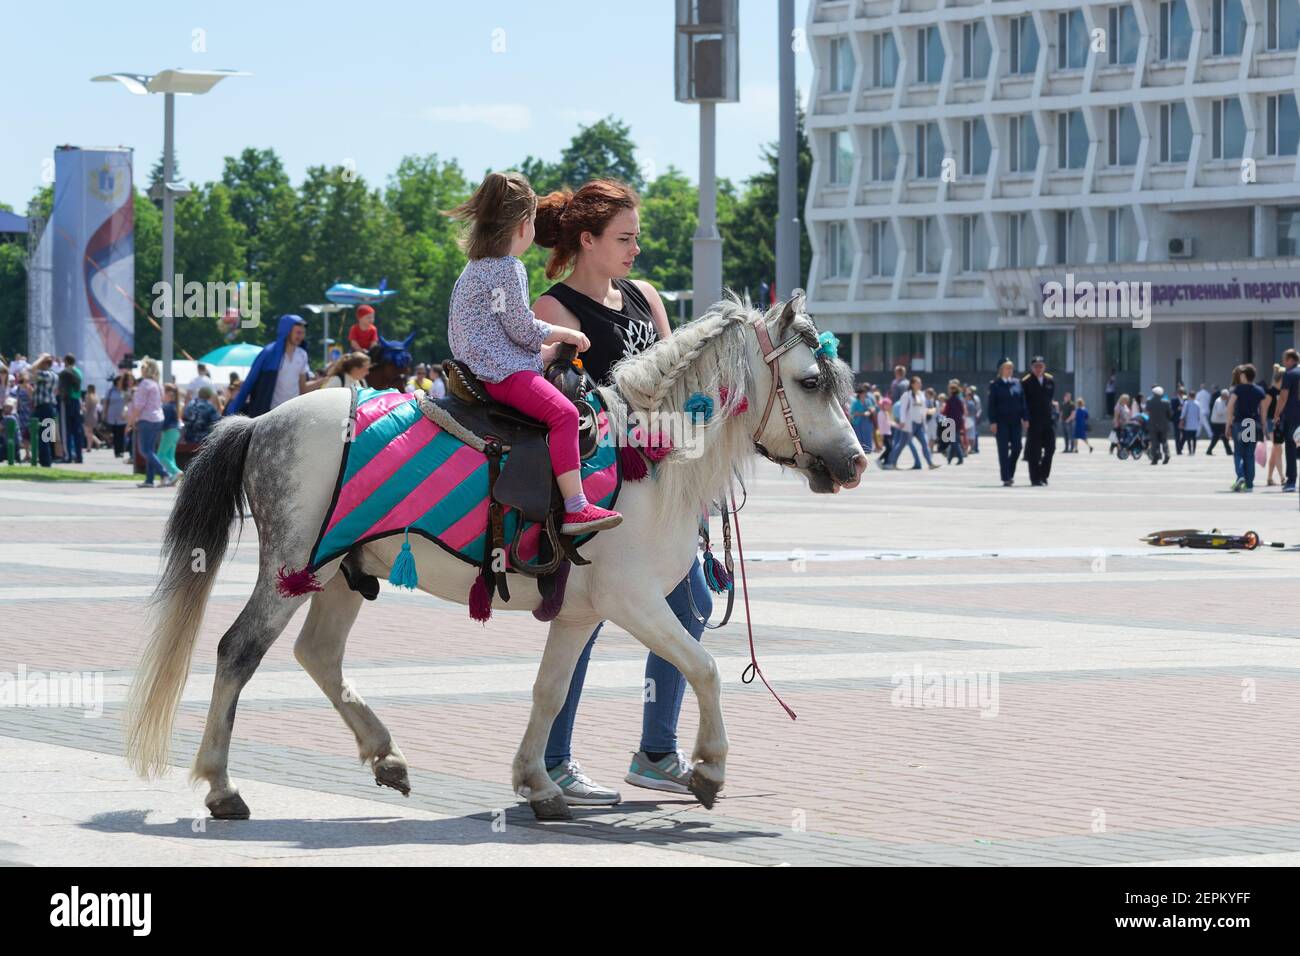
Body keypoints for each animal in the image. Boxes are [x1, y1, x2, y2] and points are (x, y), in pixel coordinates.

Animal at [124, 293, 868, 821]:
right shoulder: (633, 602)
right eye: (810, 381)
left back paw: (385, 756)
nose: (858, 462)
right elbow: (704, 668)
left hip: (339, 571)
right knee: (238, 652)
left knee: (319, 656)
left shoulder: (581, 612)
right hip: (292, 570)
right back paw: (222, 787)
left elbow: (549, 692)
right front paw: (710, 767)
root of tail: (260, 421)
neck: (648, 458)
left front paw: (539, 784)